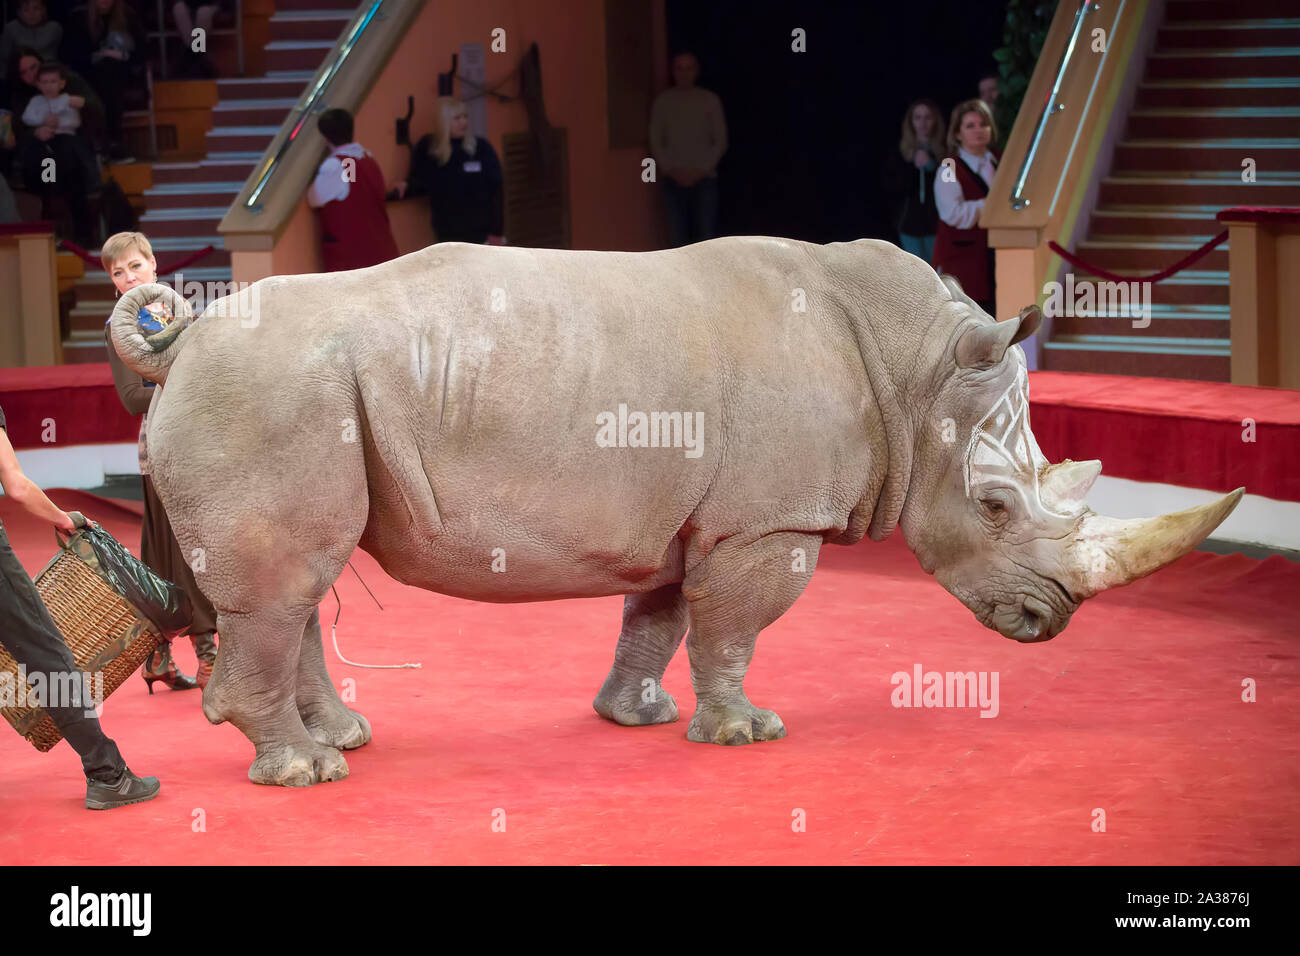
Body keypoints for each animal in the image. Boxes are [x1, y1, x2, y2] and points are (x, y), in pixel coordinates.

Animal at [110, 237, 1242, 787]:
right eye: (996, 504)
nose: (1050, 618)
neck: (917, 370)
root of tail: (184, 342)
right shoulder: (765, 523)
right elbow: (733, 627)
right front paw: (745, 736)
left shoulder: (684, 514)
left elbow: (654, 618)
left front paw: (638, 717)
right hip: (268, 392)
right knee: (281, 587)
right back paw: (304, 775)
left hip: (289, 394)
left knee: (299, 583)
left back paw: (344, 739)